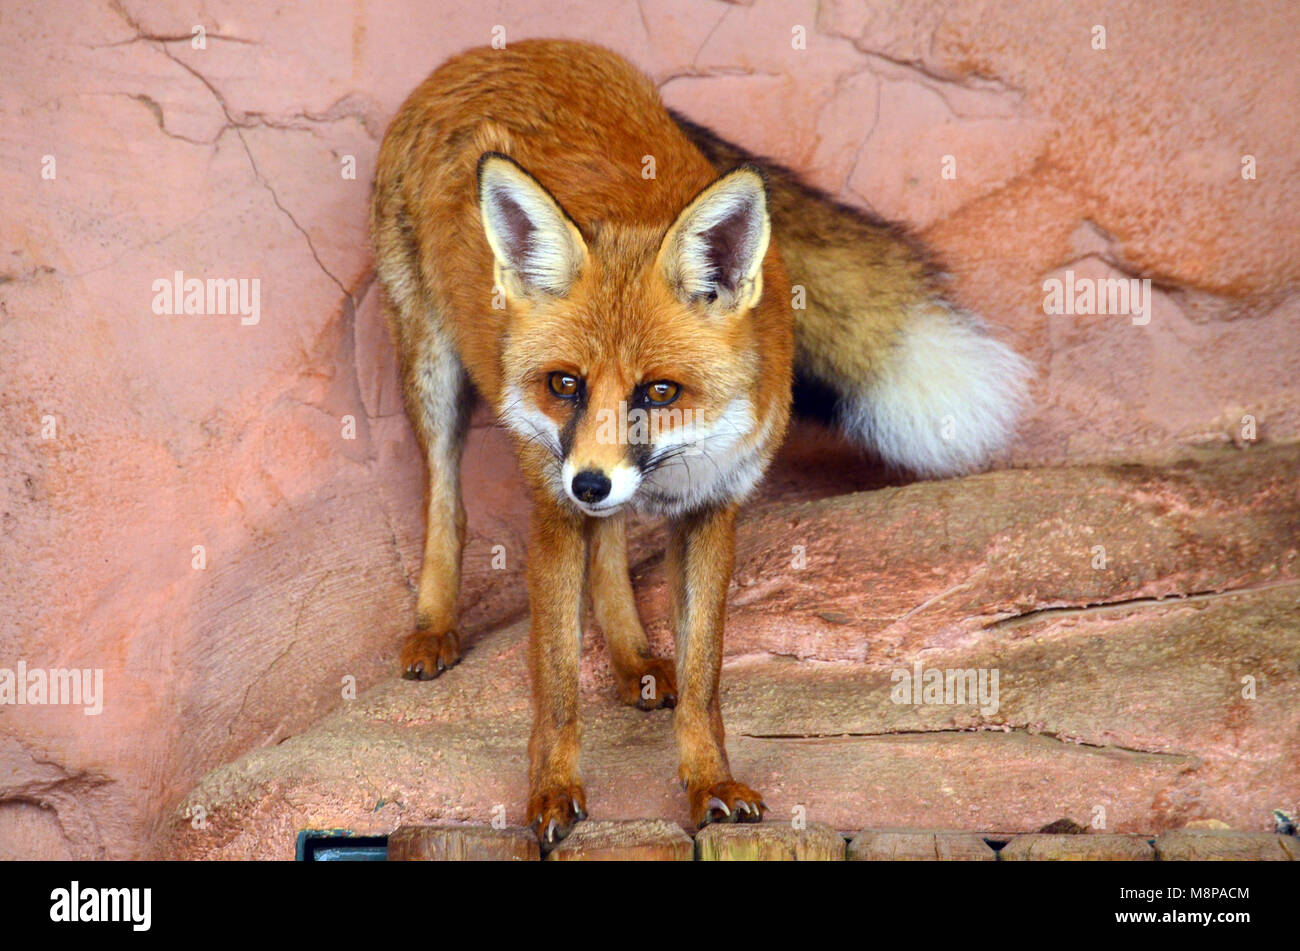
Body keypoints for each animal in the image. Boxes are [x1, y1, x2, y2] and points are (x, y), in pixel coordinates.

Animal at [371, 39, 1030, 843]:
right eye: (564, 384)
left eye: (660, 392)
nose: (588, 482)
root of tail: (500, 50)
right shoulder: (554, 509)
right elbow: (555, 682)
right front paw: (552, 792)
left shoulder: (716, 507)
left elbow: (705, 674)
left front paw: (709, 781)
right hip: (431, 369)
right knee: (447, 501)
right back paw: (434, 626)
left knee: (610, 545)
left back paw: (632, 658)